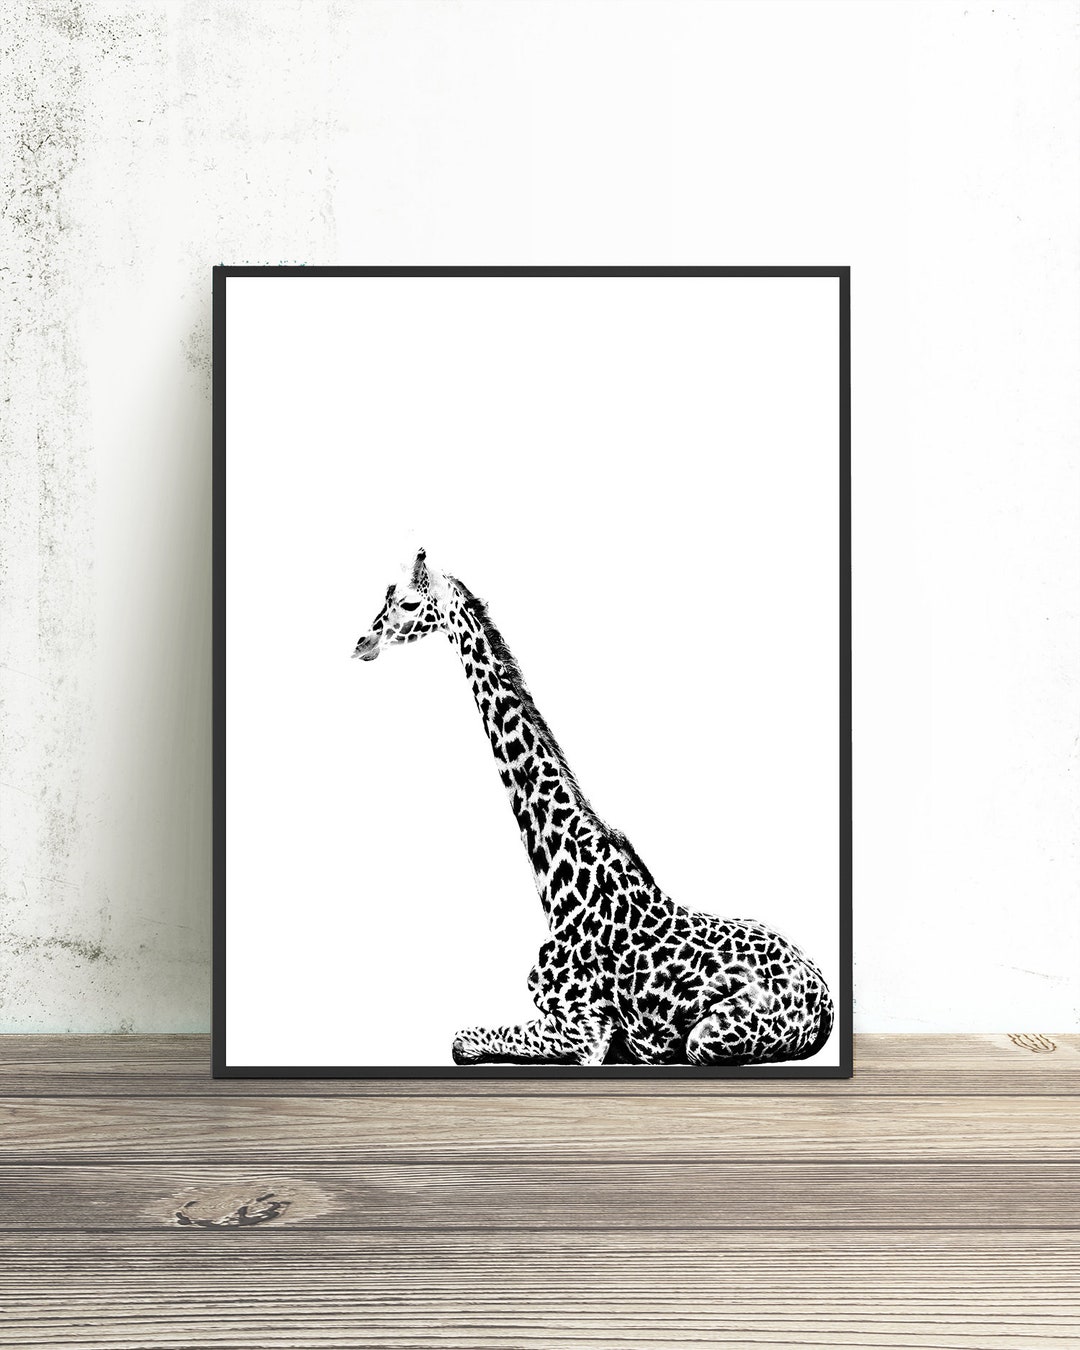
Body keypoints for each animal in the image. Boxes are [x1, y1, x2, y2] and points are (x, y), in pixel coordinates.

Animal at [352, 549, 834, 1067]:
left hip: (705, 1040)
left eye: (405, 603)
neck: (561, 885)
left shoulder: (584, 1032)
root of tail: (827, 1004)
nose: (362, 643)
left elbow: (463, 1040)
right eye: (385, 596)